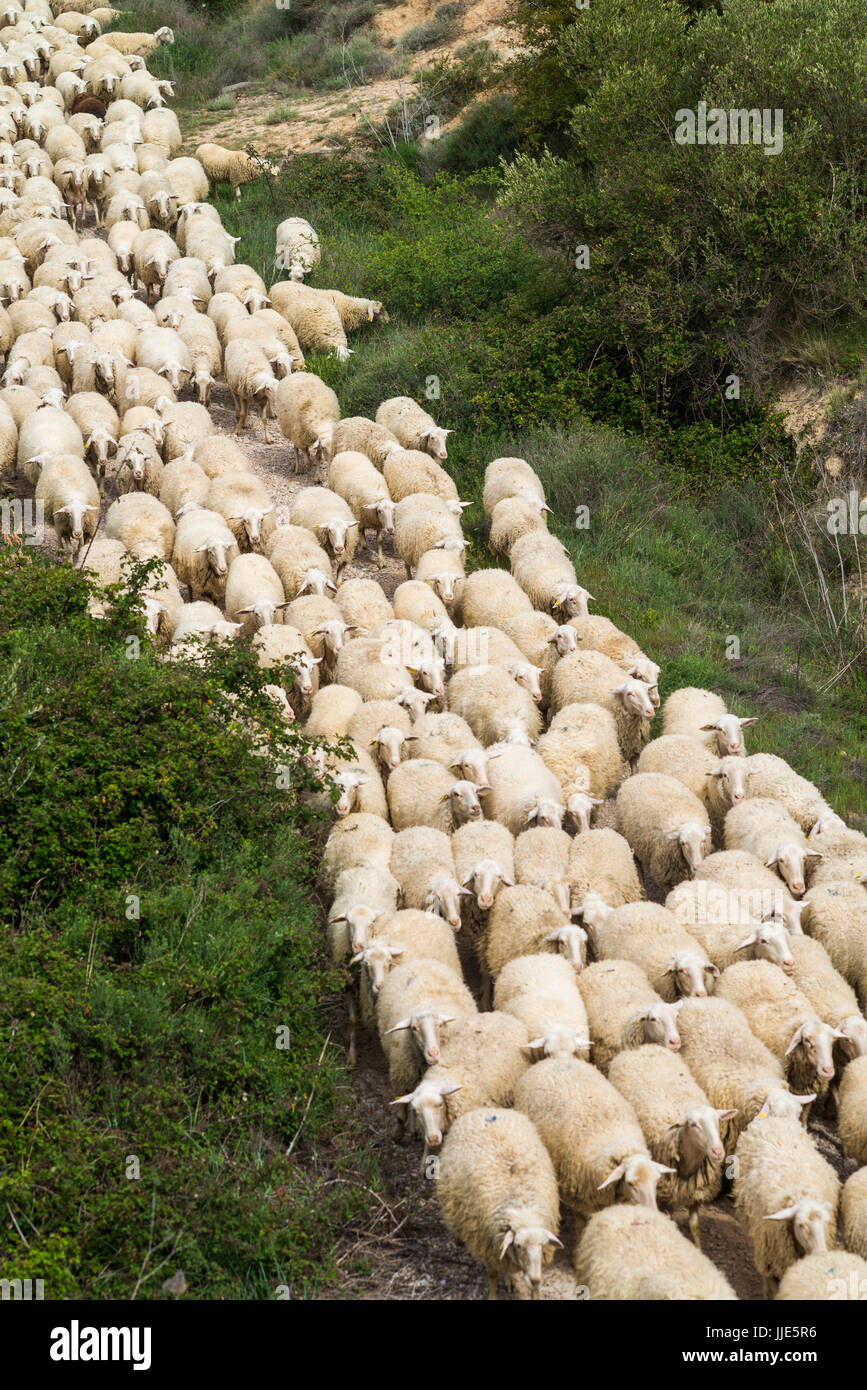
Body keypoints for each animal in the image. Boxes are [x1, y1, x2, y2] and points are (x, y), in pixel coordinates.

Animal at [436, 1107, 560, 1300]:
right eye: (518, 1245)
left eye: (543, 1245)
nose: (535, 1279)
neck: (521, 1205)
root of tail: (487, 1109)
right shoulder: (488, 1247)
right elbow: (493, 1275)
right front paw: (493, 1295)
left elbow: (535, 1289)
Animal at [516, 1057, 670, 1240]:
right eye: (630, 1183)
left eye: (657, 1180)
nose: (653, 1213)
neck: (617, 1142)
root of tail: (554, 1059)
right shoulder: (580, 1205)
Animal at [606, 1046, 733, 1246]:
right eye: (693, 1124)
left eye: (718, 1120)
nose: (718, 1151)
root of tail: (643, 1048)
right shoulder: (664, 1194)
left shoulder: (696, 1193)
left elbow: (695, 1225)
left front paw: (698, 1248)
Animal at [733, 1114, 839, 1298]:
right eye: (801, 1225)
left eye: (825, 1223)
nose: (820, 1253)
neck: (800, 1195)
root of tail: (777, 1119)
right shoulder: (769, 1261)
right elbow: (771, 1291)